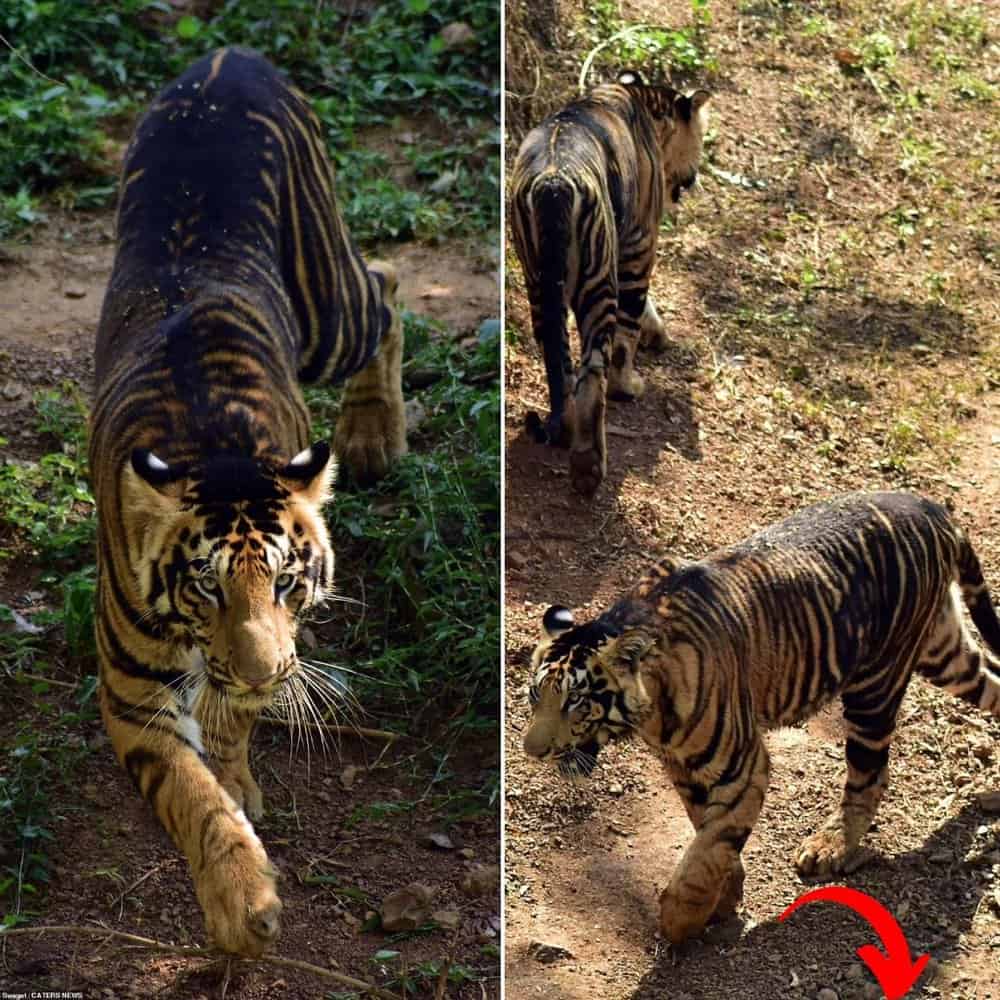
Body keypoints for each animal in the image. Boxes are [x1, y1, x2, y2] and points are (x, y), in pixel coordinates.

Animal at [88, 47, 406, 955]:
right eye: (205, 586)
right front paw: (243, 901)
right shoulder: (131, 693)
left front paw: (238, 771)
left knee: (385, 283)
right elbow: (189, 792)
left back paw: (373, 433)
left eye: (289, 581)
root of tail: (226, 56)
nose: (268, 671)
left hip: (331, 311)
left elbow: (229, 723)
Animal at [509, 69, 709, 495]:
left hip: (537, 282)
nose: (693, 178)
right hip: (596, 284)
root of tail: (553, 184)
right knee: (592, 373)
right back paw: (588, 467)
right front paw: (631, 384)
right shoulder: (639, 242)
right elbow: (629, 329)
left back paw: (566, 432)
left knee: (558, 362)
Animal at [522, 492, 1000, 946]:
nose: (532, 751)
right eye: (534, 694)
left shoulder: (741, 765)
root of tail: (931, 506)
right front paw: (726, 896)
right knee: (993, 680)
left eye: (575, 701)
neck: (651, 714)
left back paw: (829, 847)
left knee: (869, 775)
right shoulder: (684, 768)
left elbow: (710, 846)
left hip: (877, 684)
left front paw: (679, 922)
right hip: (943, 654)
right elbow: (708, 832)